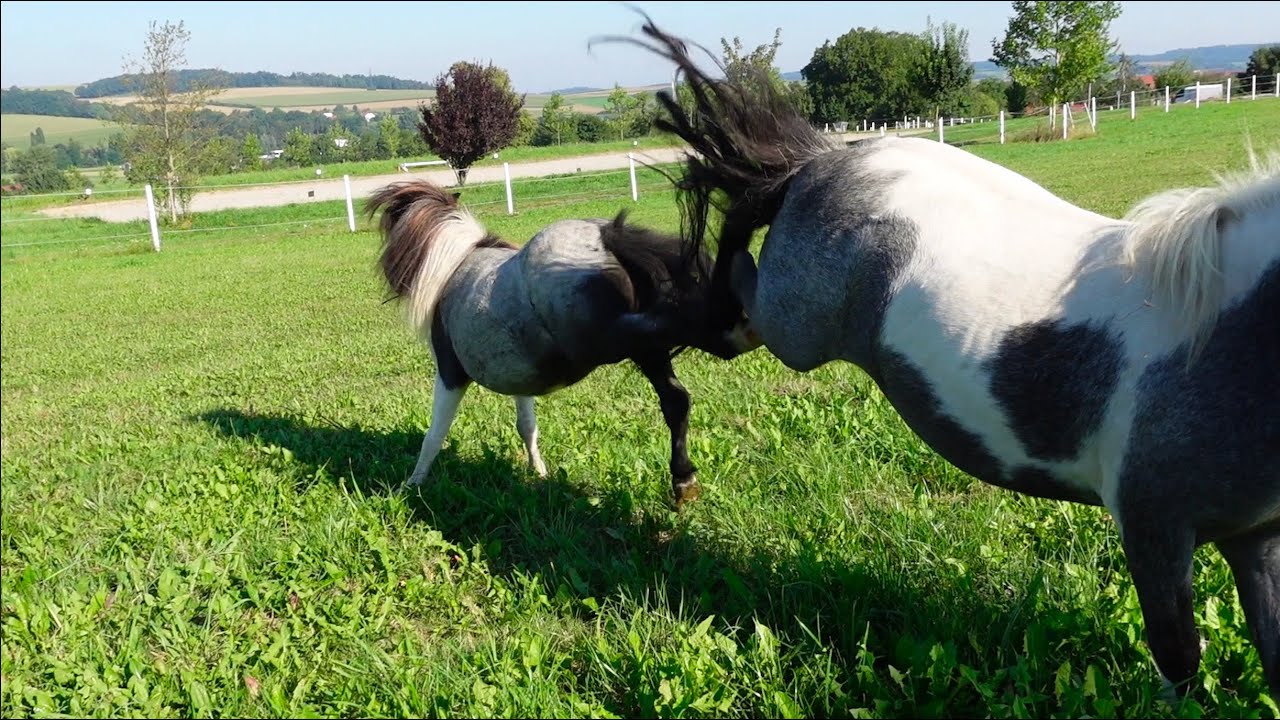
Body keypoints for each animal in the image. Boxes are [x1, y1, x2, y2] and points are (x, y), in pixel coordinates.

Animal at [364, 179, 759, 506]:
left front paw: (413, 483)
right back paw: (683, 479)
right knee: (677, 399)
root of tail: (607, 236)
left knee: (682, 329)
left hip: (610, 342)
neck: (456, 266)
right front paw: (539, 473)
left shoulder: (450, 374)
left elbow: (434, 434)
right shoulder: (519, 381)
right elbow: (527, 427)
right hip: (647, 353)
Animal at [602, 19, 1279, 700]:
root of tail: (822, 160)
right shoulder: (1152, 529)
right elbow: (1179, 662)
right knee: (730, 285)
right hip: (791, 331)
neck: (1219, 333)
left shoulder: (1258, 538)